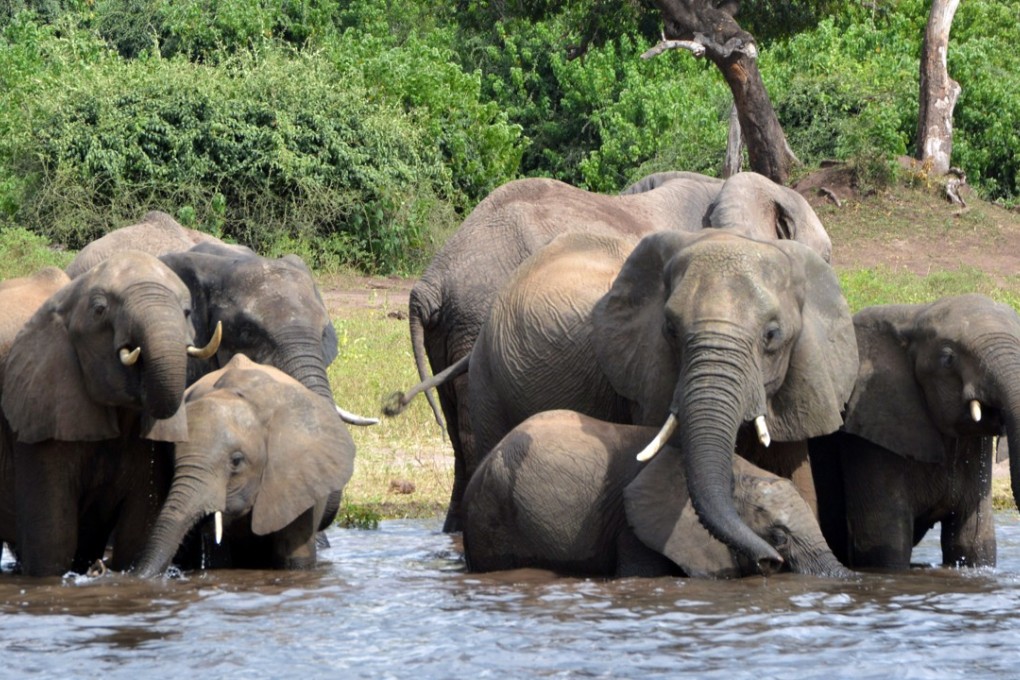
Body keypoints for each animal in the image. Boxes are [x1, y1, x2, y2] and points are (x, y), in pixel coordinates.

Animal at [404, 170, 833, 531]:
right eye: (825, 262)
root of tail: (431, 281)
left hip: (452, 332)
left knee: (458, 432)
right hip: (475, 316)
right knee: (470, 433)